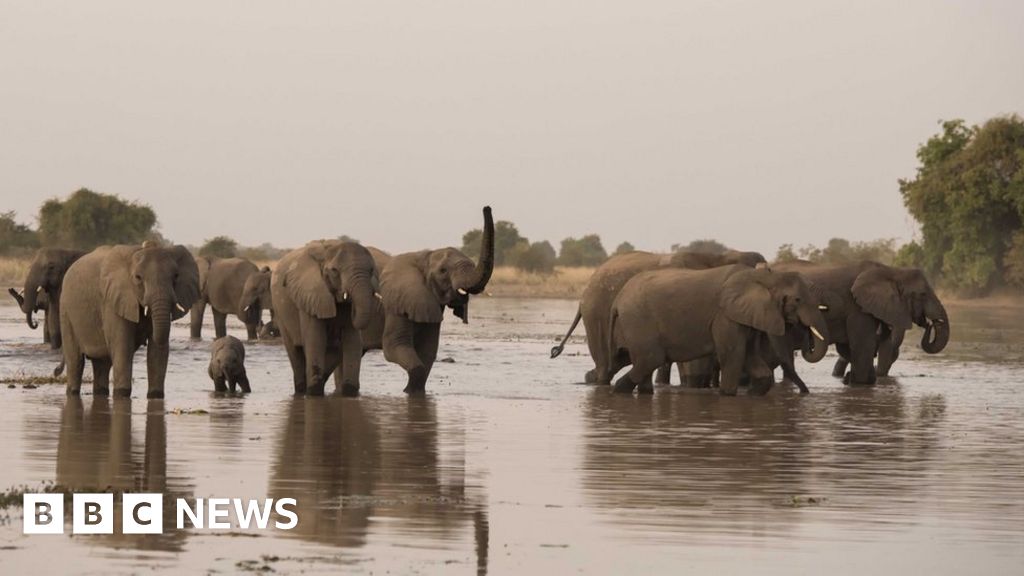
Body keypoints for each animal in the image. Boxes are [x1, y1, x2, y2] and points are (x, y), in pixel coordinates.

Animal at [60, 243, 201, 398]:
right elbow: (123, 347)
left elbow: (157, 352)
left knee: (102, 364)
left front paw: (155, 396)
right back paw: (73, 391)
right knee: (76, 361)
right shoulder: (112, 301)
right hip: (66, 312)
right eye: (138, 277)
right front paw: (122, 394)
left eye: (176, 276)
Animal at [271, 240, 380, 397]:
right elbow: (315, 340)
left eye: (371, 271)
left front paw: (349, 394)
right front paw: (314, 394)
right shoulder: (309, 295)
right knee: (295, 352)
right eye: (334, 271)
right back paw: (301, 391)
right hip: (280, 312)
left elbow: (353, 341)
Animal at [371, 206, 495, 394]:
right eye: (443, 271)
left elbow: (428, 351)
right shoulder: (396, 301)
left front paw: (412, 392)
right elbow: (395, 346)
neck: (424, 257)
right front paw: (408, 393)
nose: (487, 207)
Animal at [608, 265, 829, 396]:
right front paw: (728, 395)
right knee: (650, 359)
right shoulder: (725, 316)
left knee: (646, 364)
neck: (766, 276)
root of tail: (617, 299)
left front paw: (753, 395)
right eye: (797, 300)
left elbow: (752, 358)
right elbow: (733, 357)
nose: (806, 333)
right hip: (639, 320)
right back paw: (618, 390)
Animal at [773, 260, 949, 384]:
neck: (892, 271)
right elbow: (863, 347)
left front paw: (852, 379)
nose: (928, 324)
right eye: (923, 294)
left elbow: (851, 348)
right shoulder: (857, 308)